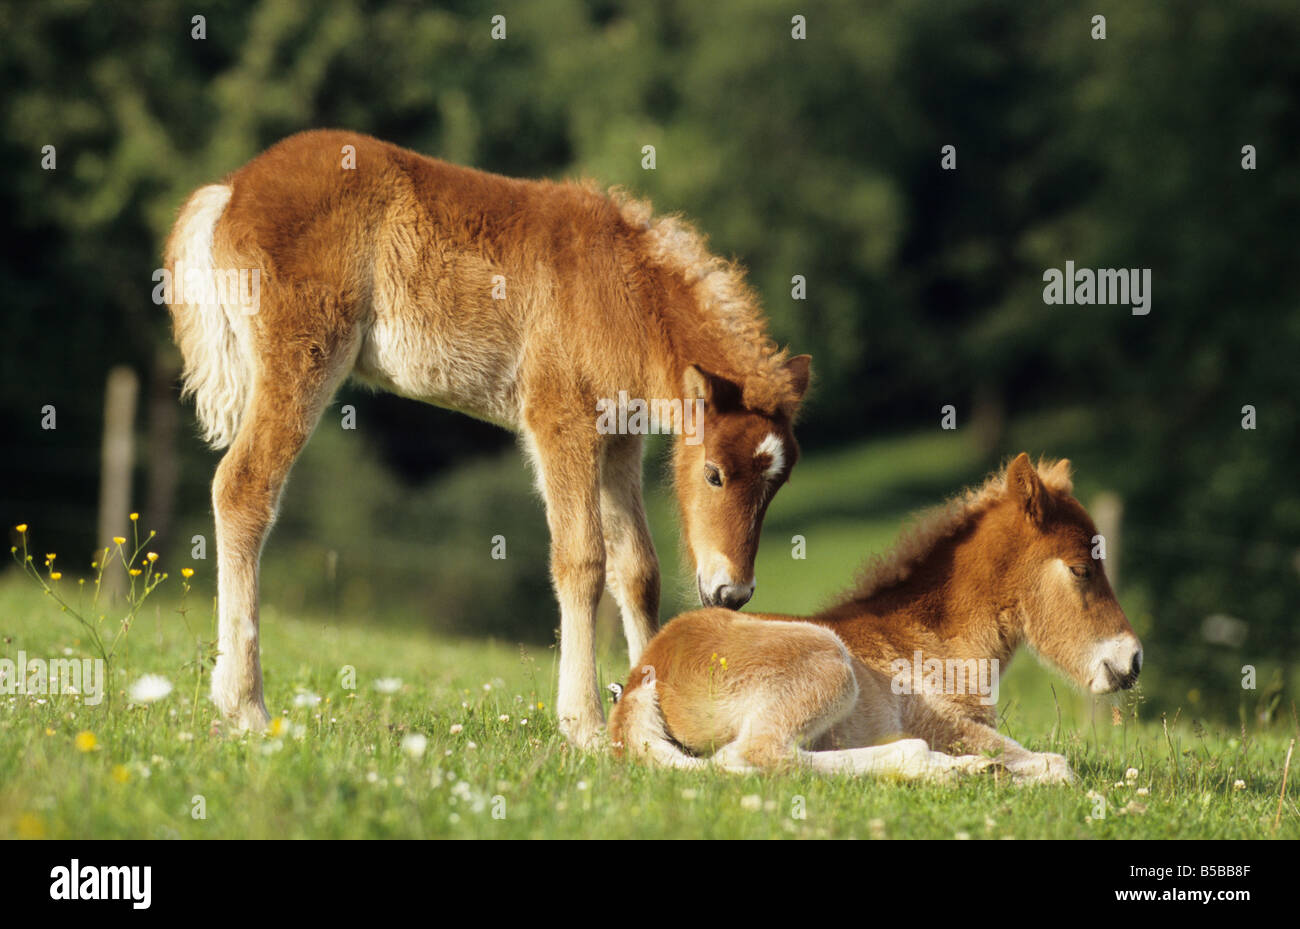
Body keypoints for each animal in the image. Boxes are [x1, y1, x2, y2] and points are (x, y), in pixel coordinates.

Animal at [162, 130, 811, 748]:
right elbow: (583, 559)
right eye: (713, 474)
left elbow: (638, 571)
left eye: (778, 484)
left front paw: (653, 726)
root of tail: (231, 188)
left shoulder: (620, 440)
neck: (626, 293)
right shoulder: (562, 418)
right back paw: (246, 707)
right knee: (243, 487)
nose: (733, 592)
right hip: (302, 356)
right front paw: (585, 726)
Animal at [608, 453, 1143, 782]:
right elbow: (1057, 765)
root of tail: (645, 672)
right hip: (827, 662)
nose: (1133, 660)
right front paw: (1004, 769)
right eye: (1081, 569)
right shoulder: (945, 724)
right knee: (750, 756)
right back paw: (942, 766)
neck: (930, 636)